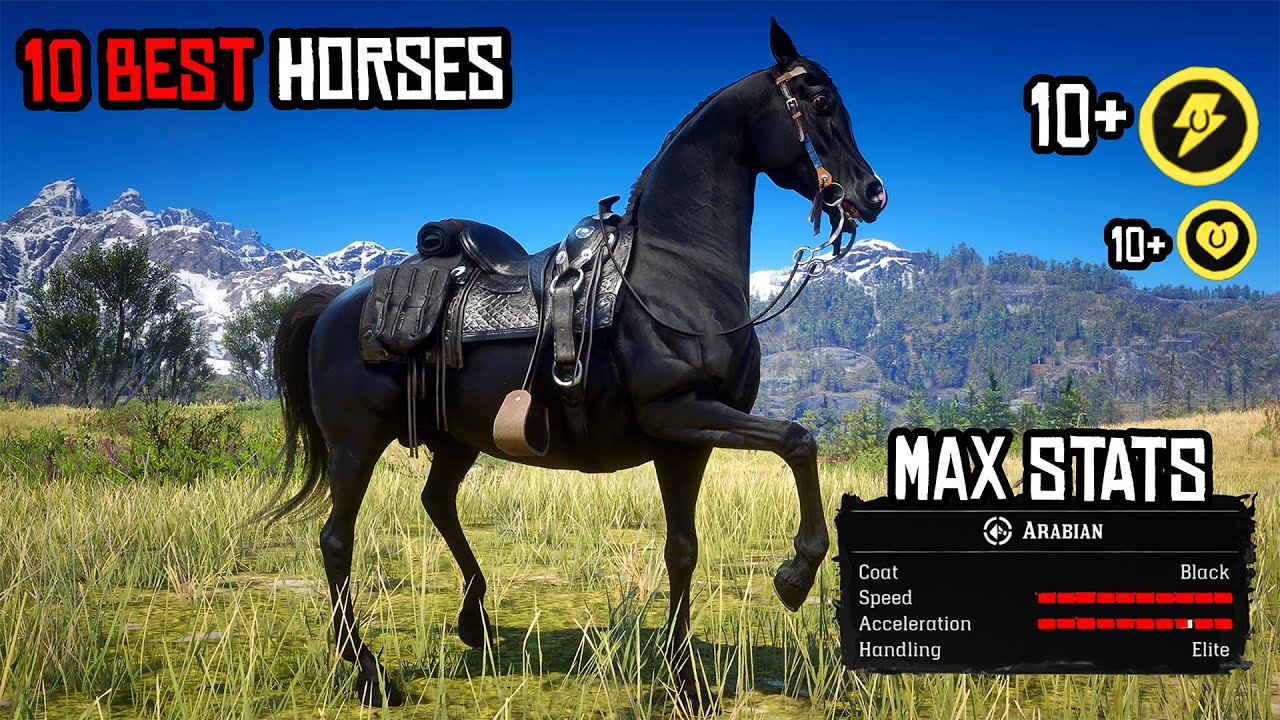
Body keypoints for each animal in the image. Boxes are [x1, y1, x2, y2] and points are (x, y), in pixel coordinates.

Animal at [263, 19, 887, 712]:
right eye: (821, 101)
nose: (871, 193)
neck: (676, 272)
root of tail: (333, 303)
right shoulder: (680, 411)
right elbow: (798, 441)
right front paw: (795, 575)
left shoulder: (686, 439)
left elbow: (683, 550)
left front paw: (685, 680)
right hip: (356, 441)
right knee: (335, 541)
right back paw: (371, 674)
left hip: (456, 439)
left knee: (436, 501)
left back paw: (473, 619)